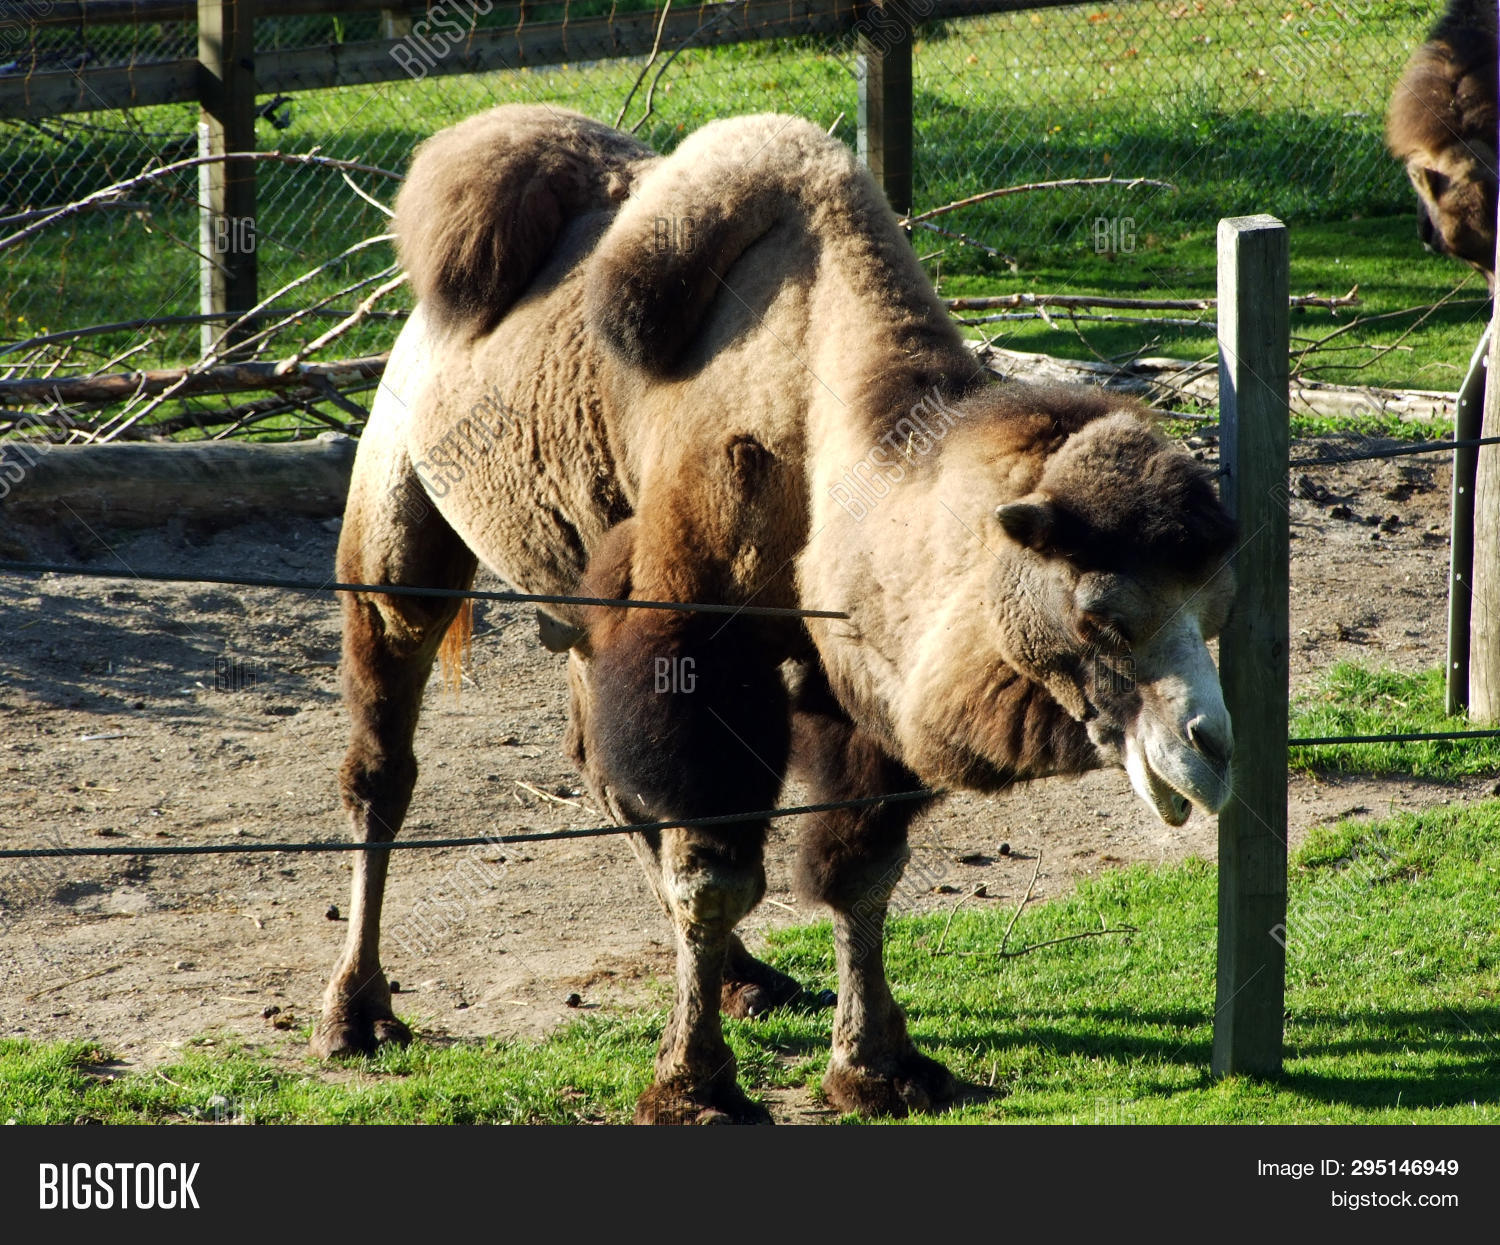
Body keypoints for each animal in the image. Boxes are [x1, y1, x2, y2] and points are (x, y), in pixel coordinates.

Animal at [314, 105, 1238, 1123]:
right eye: (1101, 611)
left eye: (1214, 606)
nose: (1213, 749)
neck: (824, 423)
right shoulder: (693, 627)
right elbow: (718, 870)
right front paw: (697, 1085)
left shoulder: (852, 668)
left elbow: (858, 867)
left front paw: (879, 1064)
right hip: (397, 508)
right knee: (384, 758)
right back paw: (355, 1014)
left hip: (577, 588)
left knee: (599, 767)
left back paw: (746, 977)